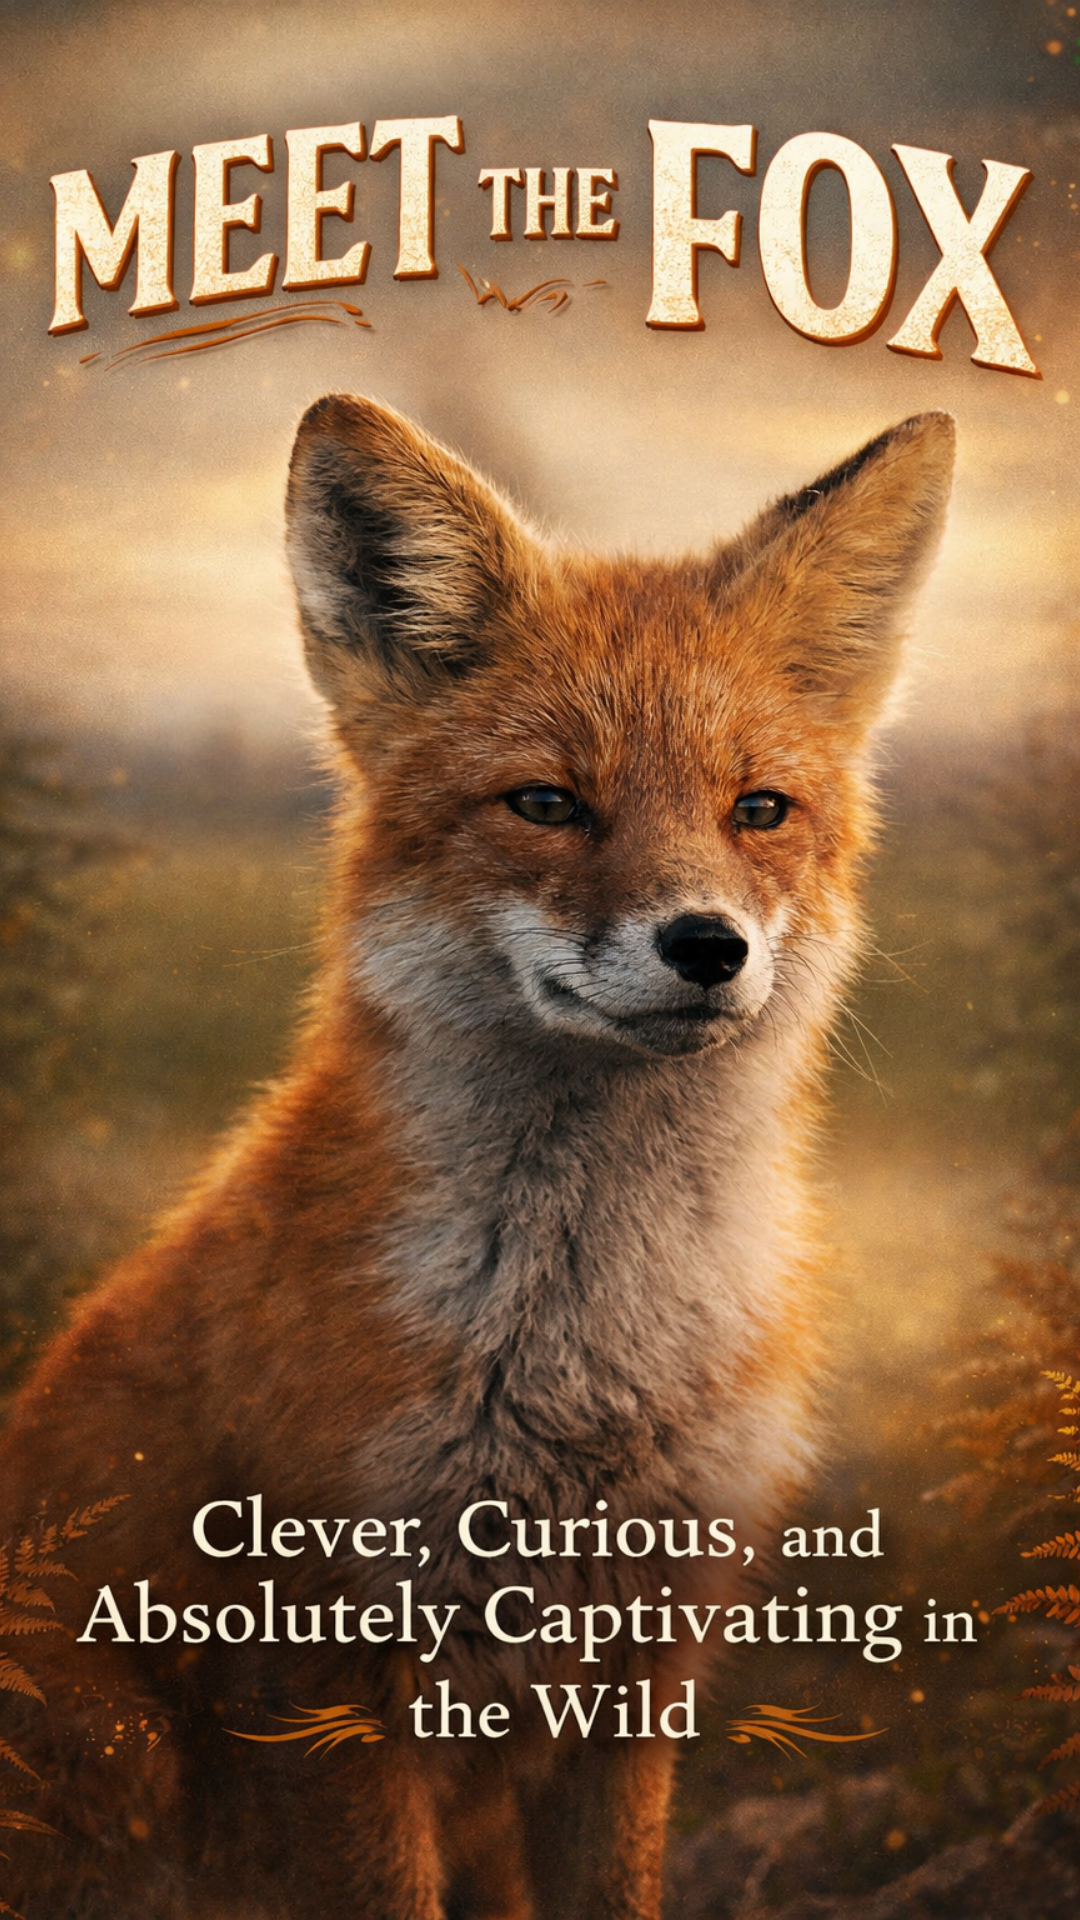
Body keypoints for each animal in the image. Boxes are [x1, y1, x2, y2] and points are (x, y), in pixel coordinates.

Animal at [0, 397, 953, 1919]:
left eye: (758, 809)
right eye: (547, 804)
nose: (707, 947)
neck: (583, 1366)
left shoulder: (631, 1678)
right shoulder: (324, 1688)